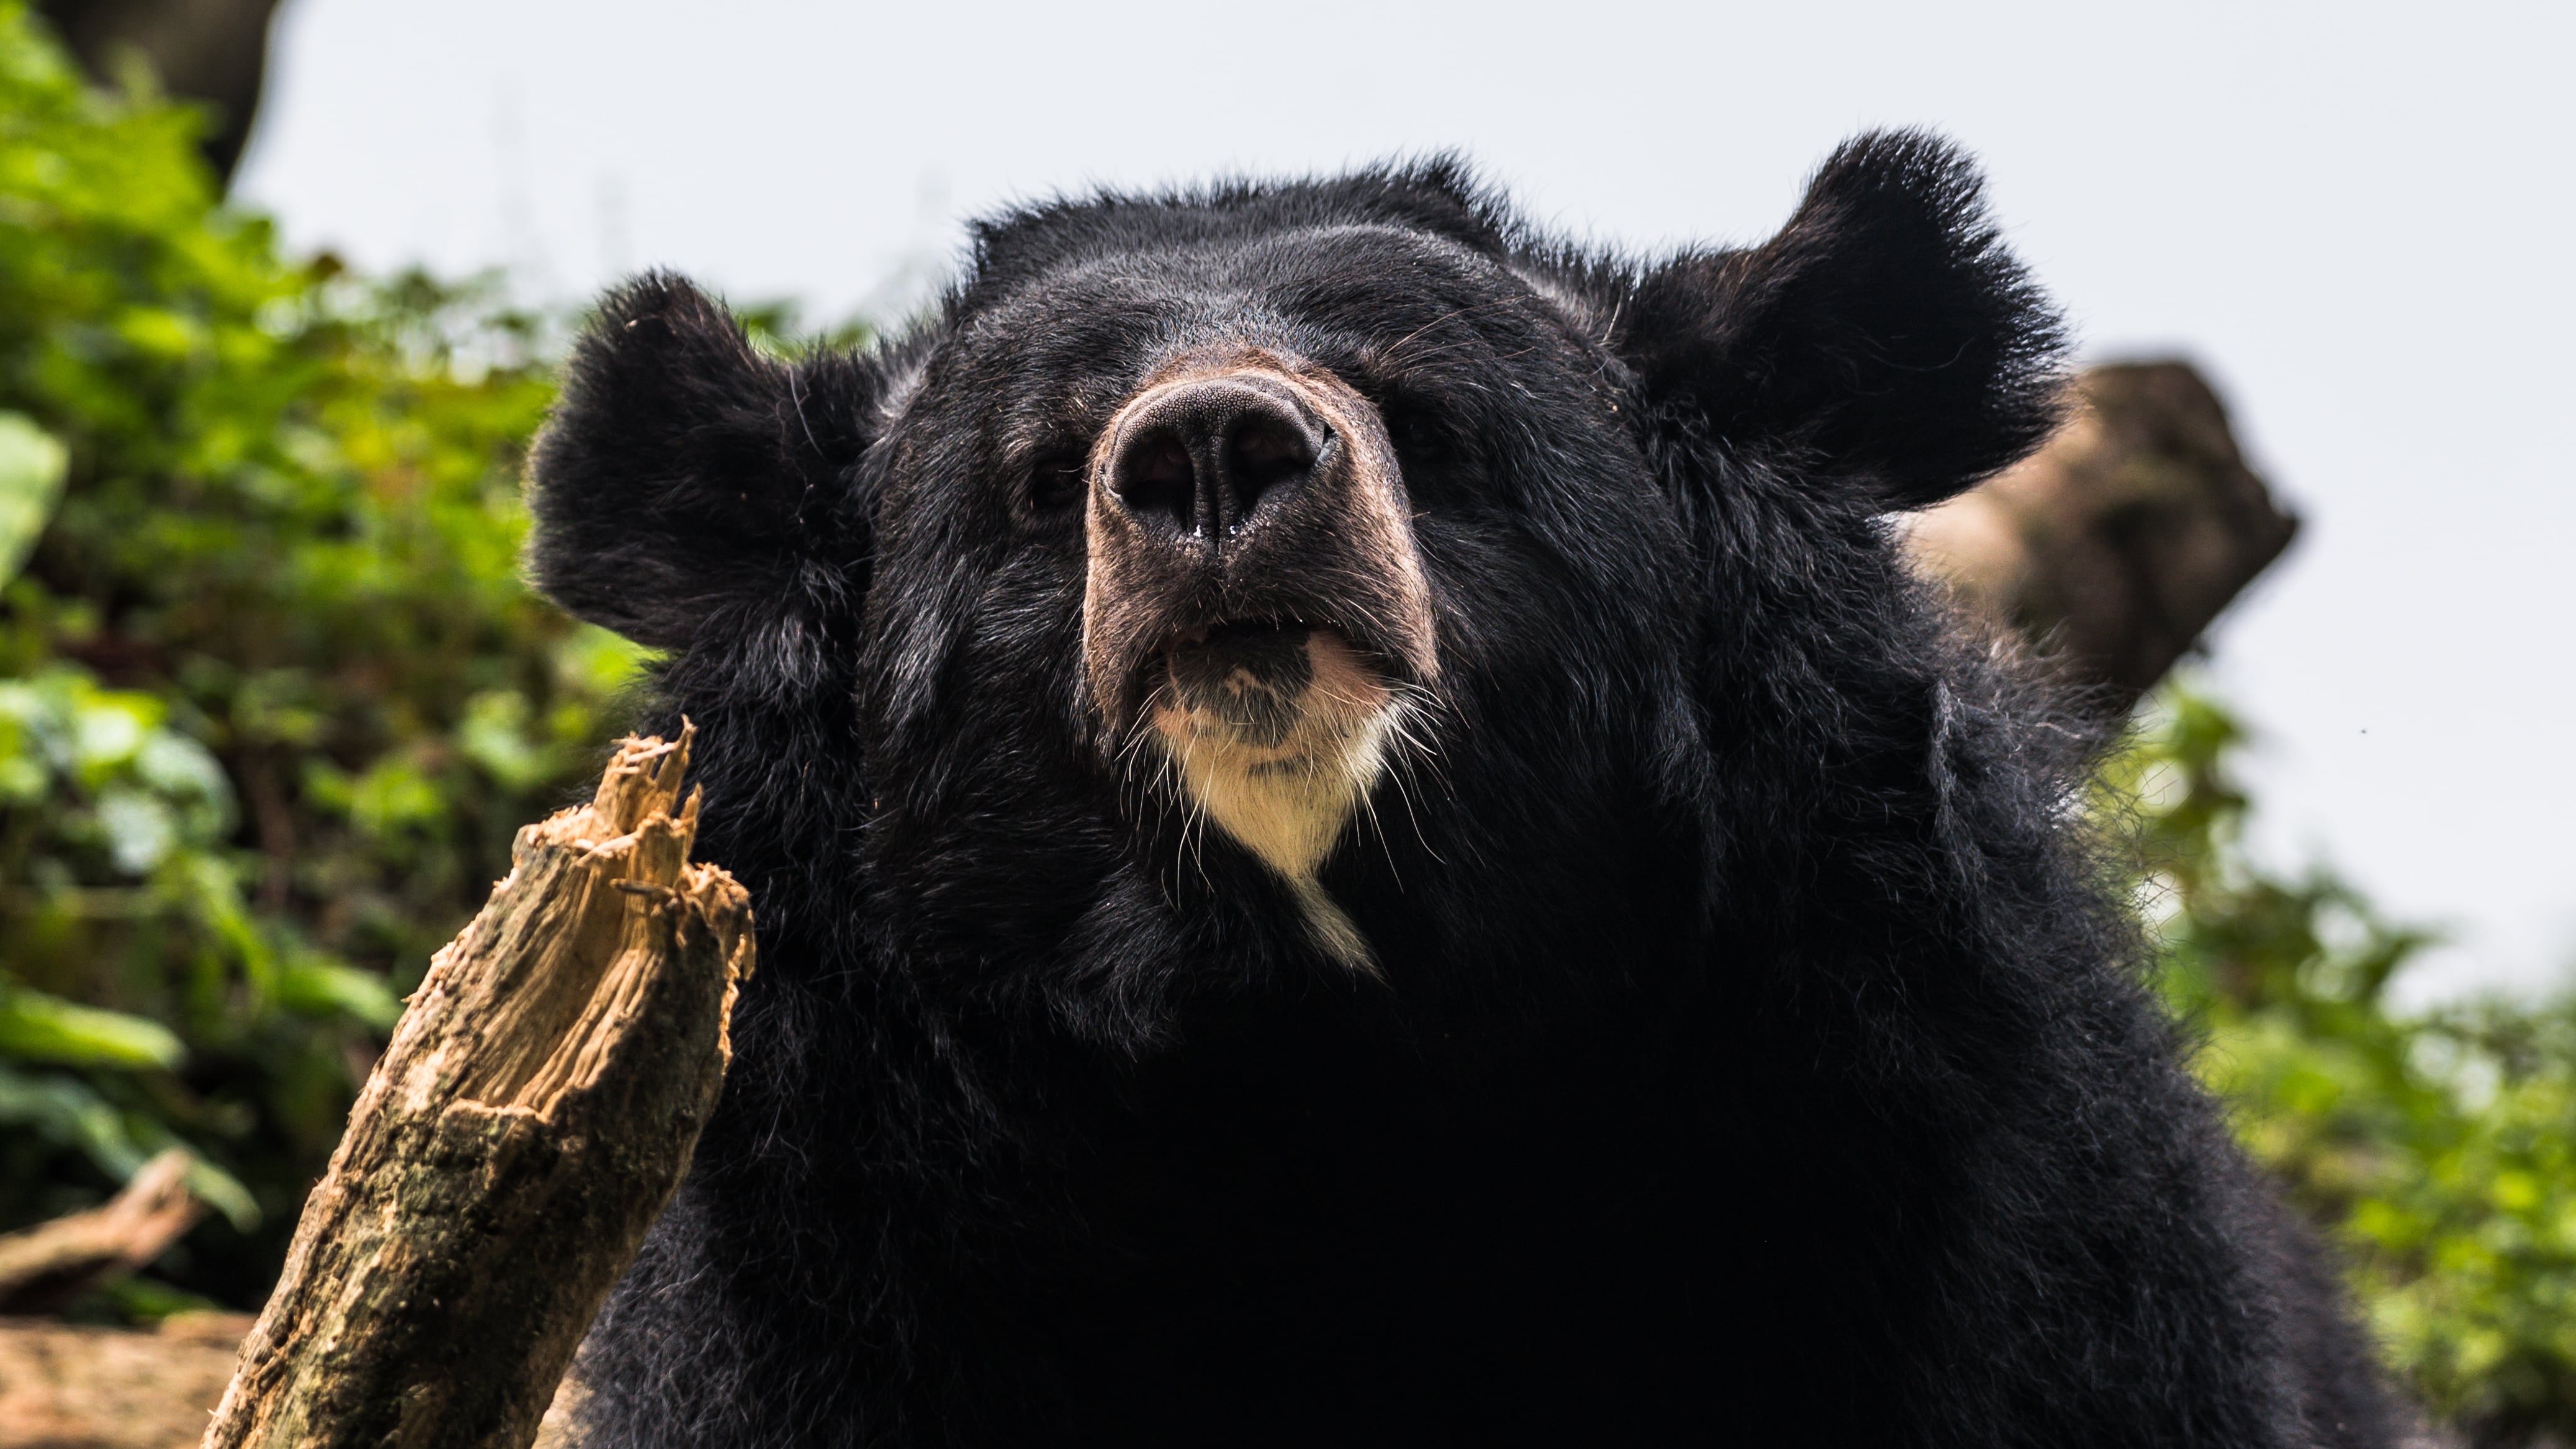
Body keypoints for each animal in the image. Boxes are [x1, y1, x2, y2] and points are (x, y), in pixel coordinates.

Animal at [525, 131, 2405, 1447]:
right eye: (1043, 473)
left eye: (1424, 422)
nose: (1209, 458)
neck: (1339, 1043)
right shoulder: (843, 1267)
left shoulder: (1960, 1186)